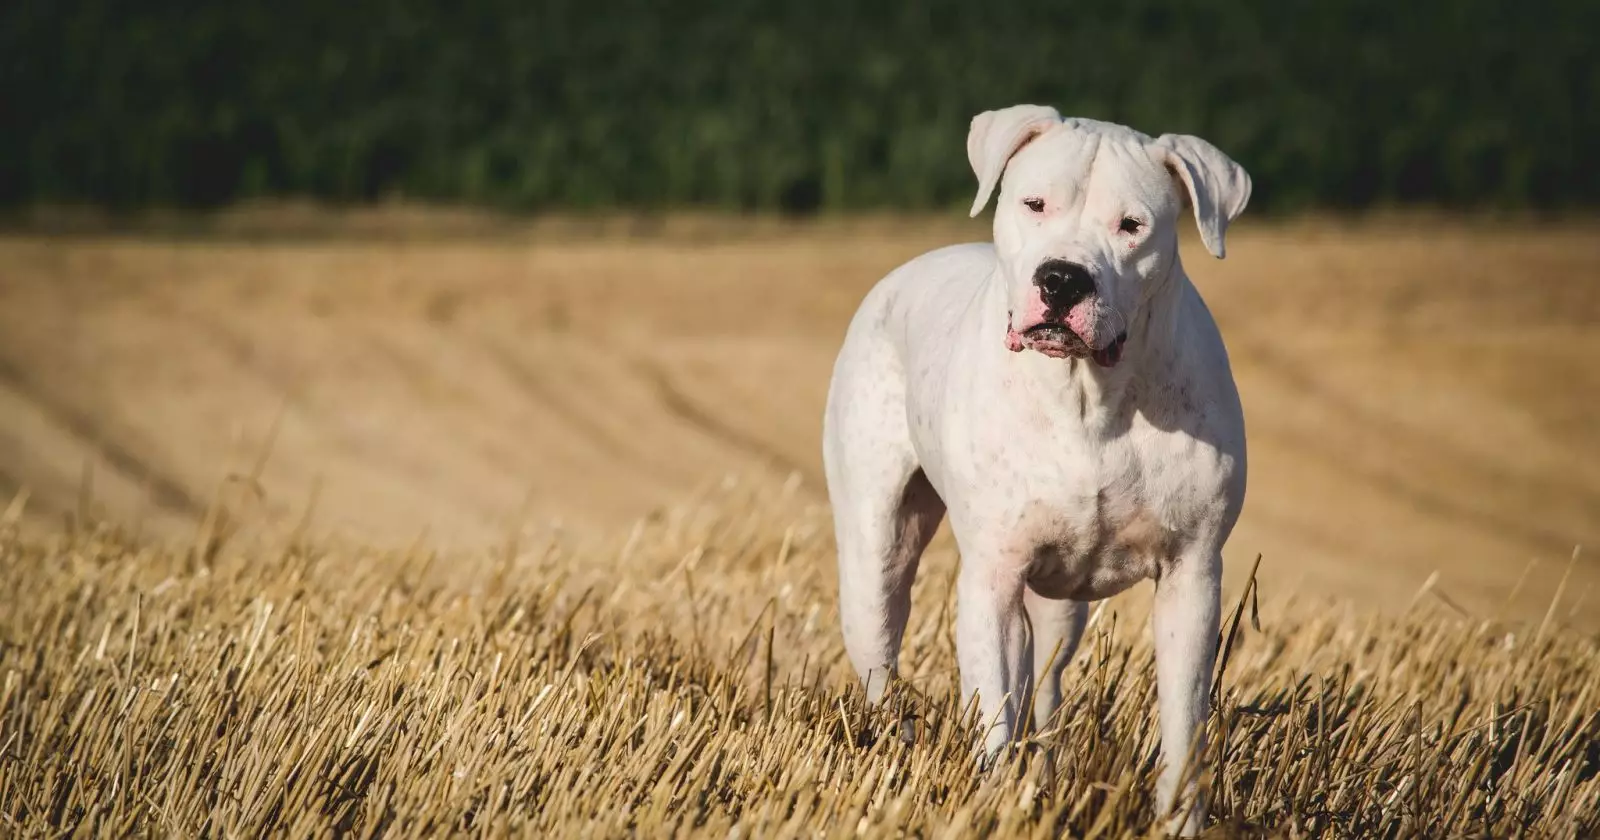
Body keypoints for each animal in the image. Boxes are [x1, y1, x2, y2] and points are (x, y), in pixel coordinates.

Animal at [825, 104, 1248, 832]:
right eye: (1034, 204)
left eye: (1131, 225)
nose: (1062, 278)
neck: (1090, 395)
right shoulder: (992, 578)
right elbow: (992, 709)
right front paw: (992, 805)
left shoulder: (1192, 576)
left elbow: (1183, 722)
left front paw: (1177, 818)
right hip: (875, 556)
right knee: (883, 654)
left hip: (1059, 609)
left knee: (1043, 684)